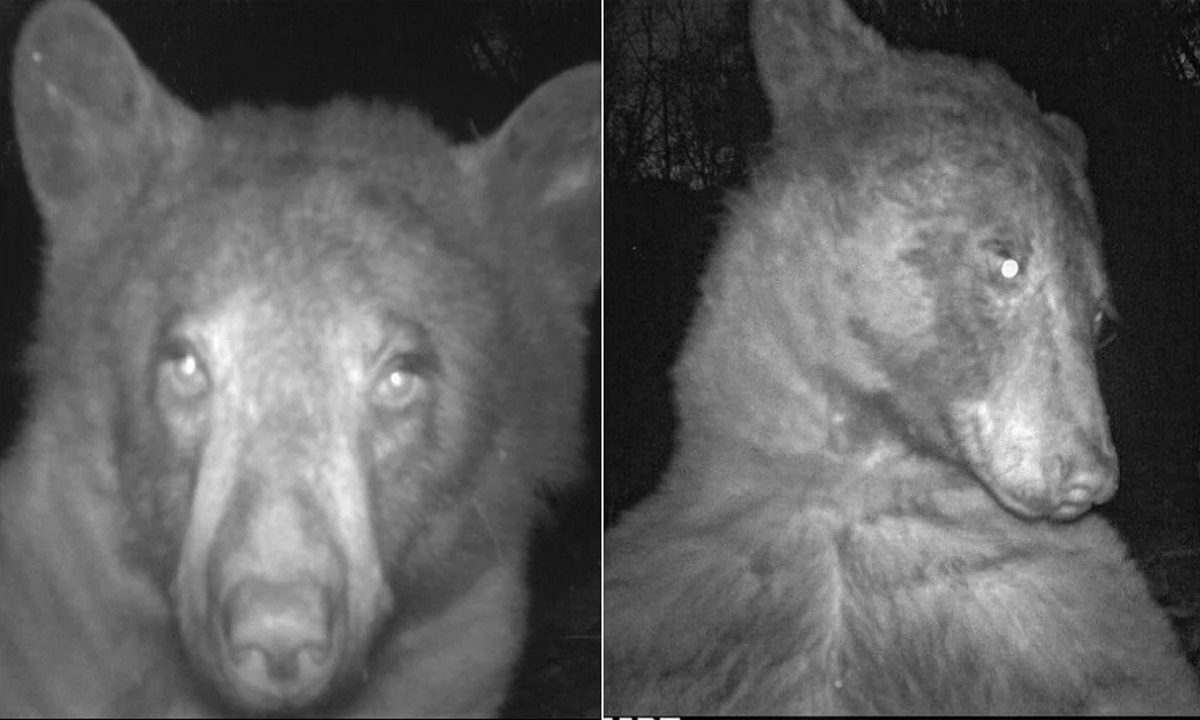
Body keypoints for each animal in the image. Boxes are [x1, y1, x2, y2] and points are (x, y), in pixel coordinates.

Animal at [604, 0, 1200, 715]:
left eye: (1100, 317)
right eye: (1007, 262)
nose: (1089, 472)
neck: (860, 473)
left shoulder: (1058, 612)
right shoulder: (681, 596)